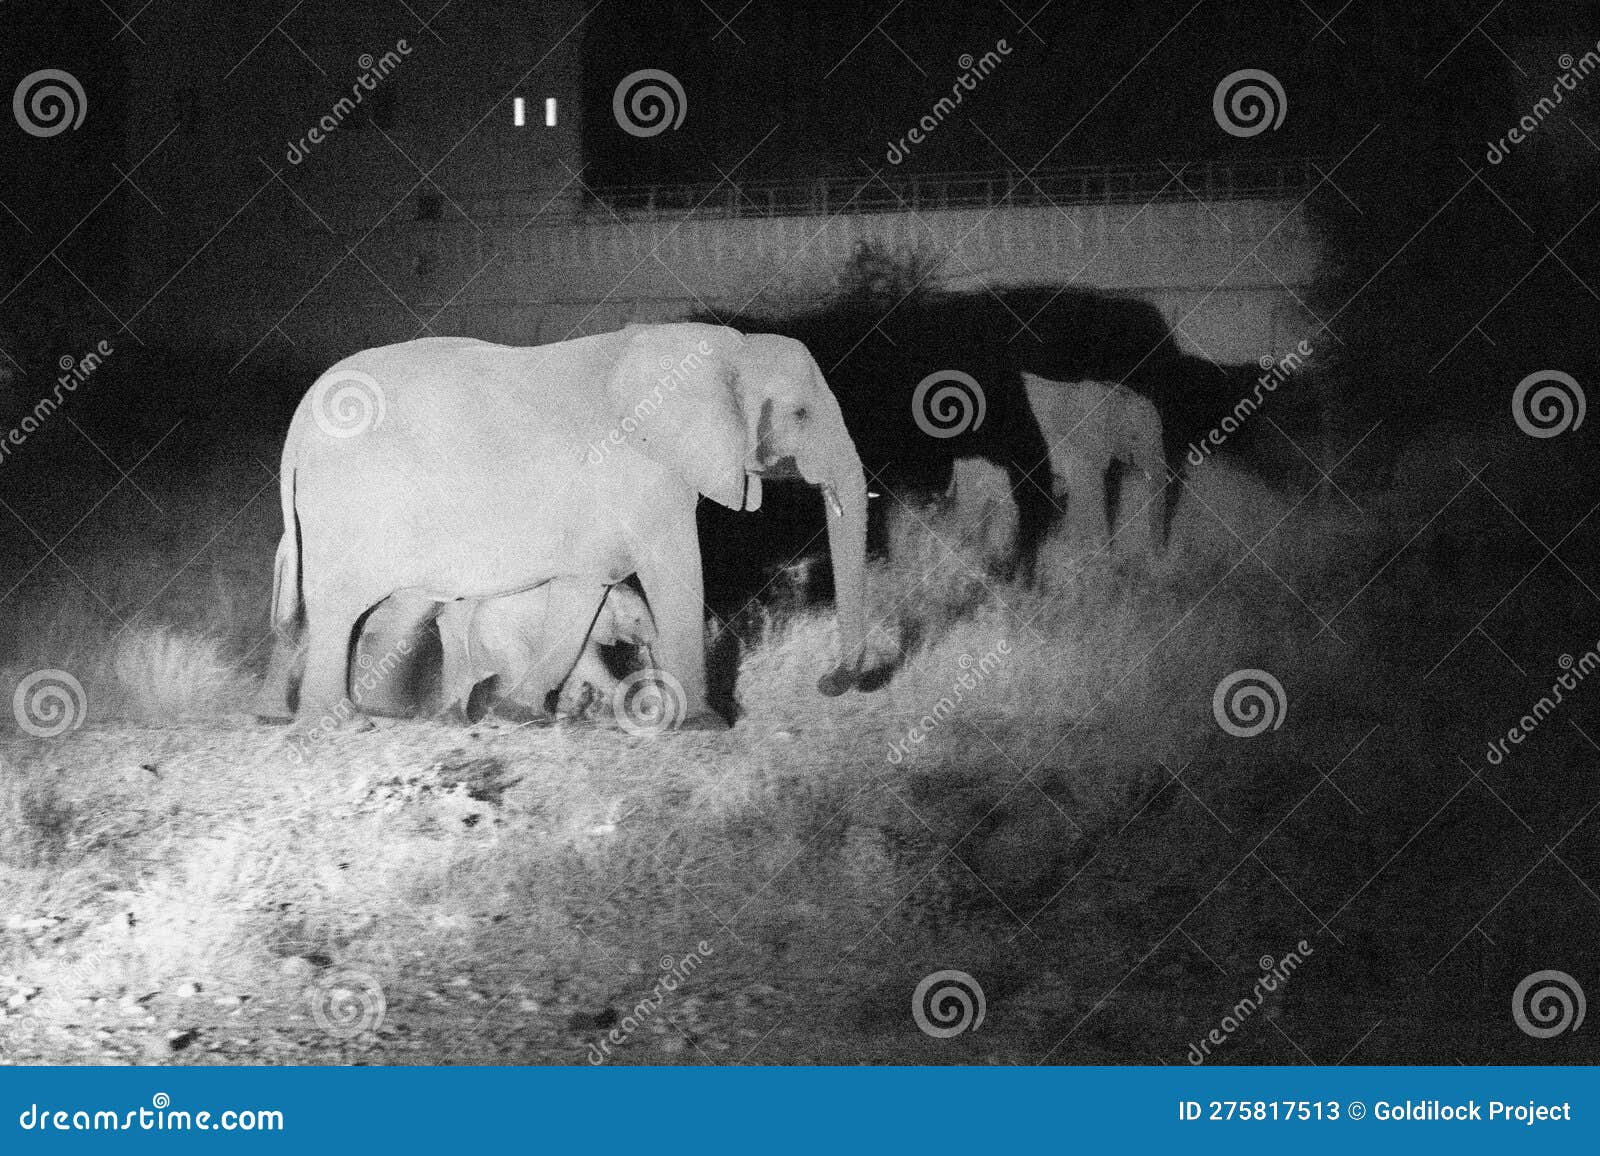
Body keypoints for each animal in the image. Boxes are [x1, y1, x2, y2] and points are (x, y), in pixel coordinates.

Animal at [254, 322, 877, 733]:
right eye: (800, 414)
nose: (833, 683)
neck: (727, 349)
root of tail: (296, 428)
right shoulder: (646, 471)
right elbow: (675, 569)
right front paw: (707, 725)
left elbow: (585, 589)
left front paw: (518, 715)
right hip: (352, 506)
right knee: (338, 608)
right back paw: (335, 724)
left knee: (390, 611)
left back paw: (379, 715)